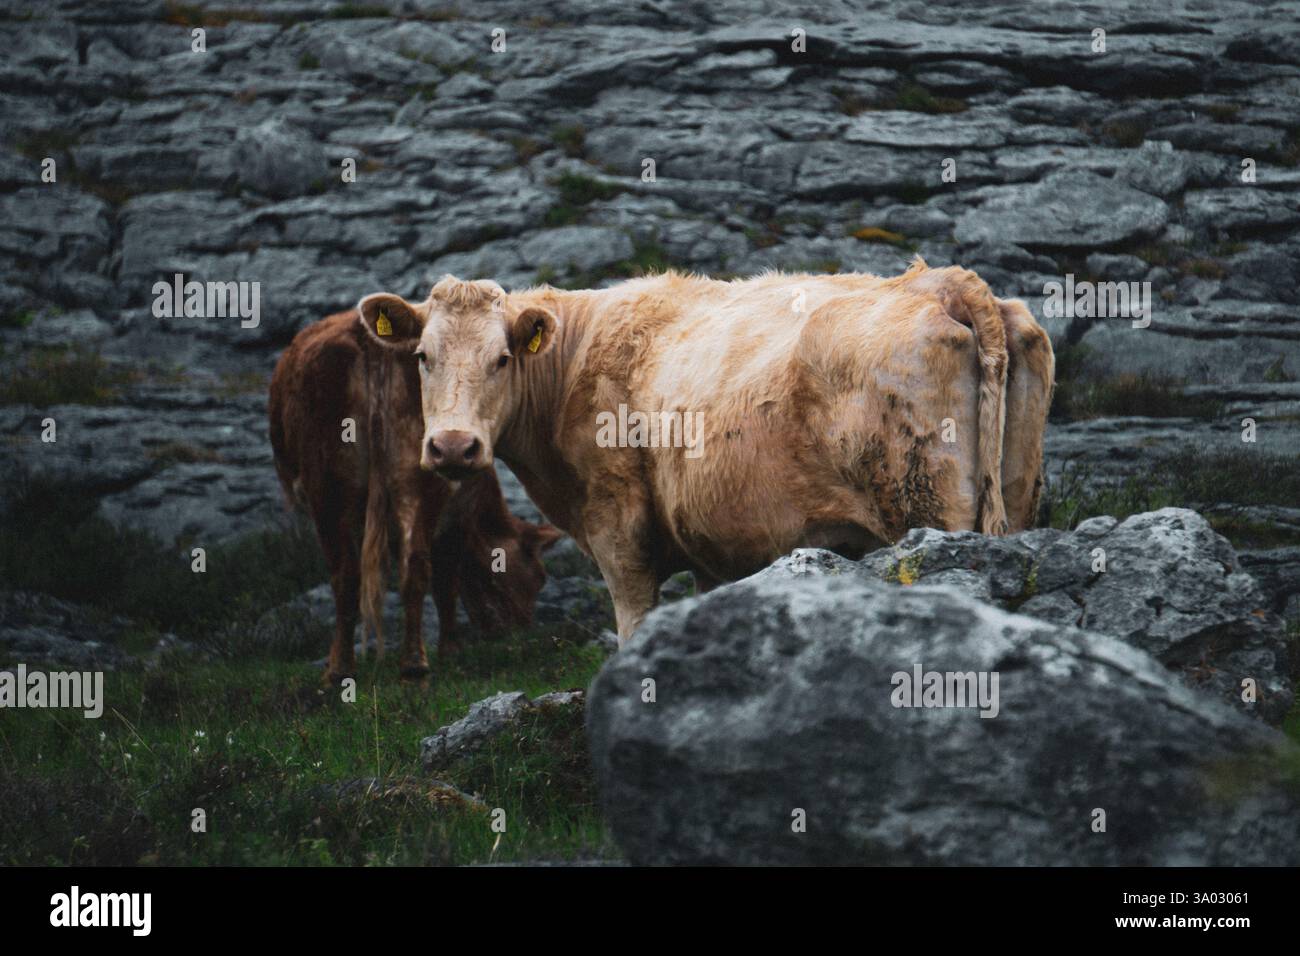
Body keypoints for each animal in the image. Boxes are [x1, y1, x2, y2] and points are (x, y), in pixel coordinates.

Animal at [268, 309, 563, 685]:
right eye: (537, 578)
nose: (520, 630)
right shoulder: (457, 514)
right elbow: (446, 577)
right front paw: (451, 648)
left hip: (335, 482)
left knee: (356, 573)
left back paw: (361, 667)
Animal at [353, 258, 1054, 643]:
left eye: (502, 358)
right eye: (423, 356)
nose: (452, 446)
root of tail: (945, 283)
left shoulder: (618, 529)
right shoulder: (714, 546)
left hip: (931, 510)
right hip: (1015, 499)